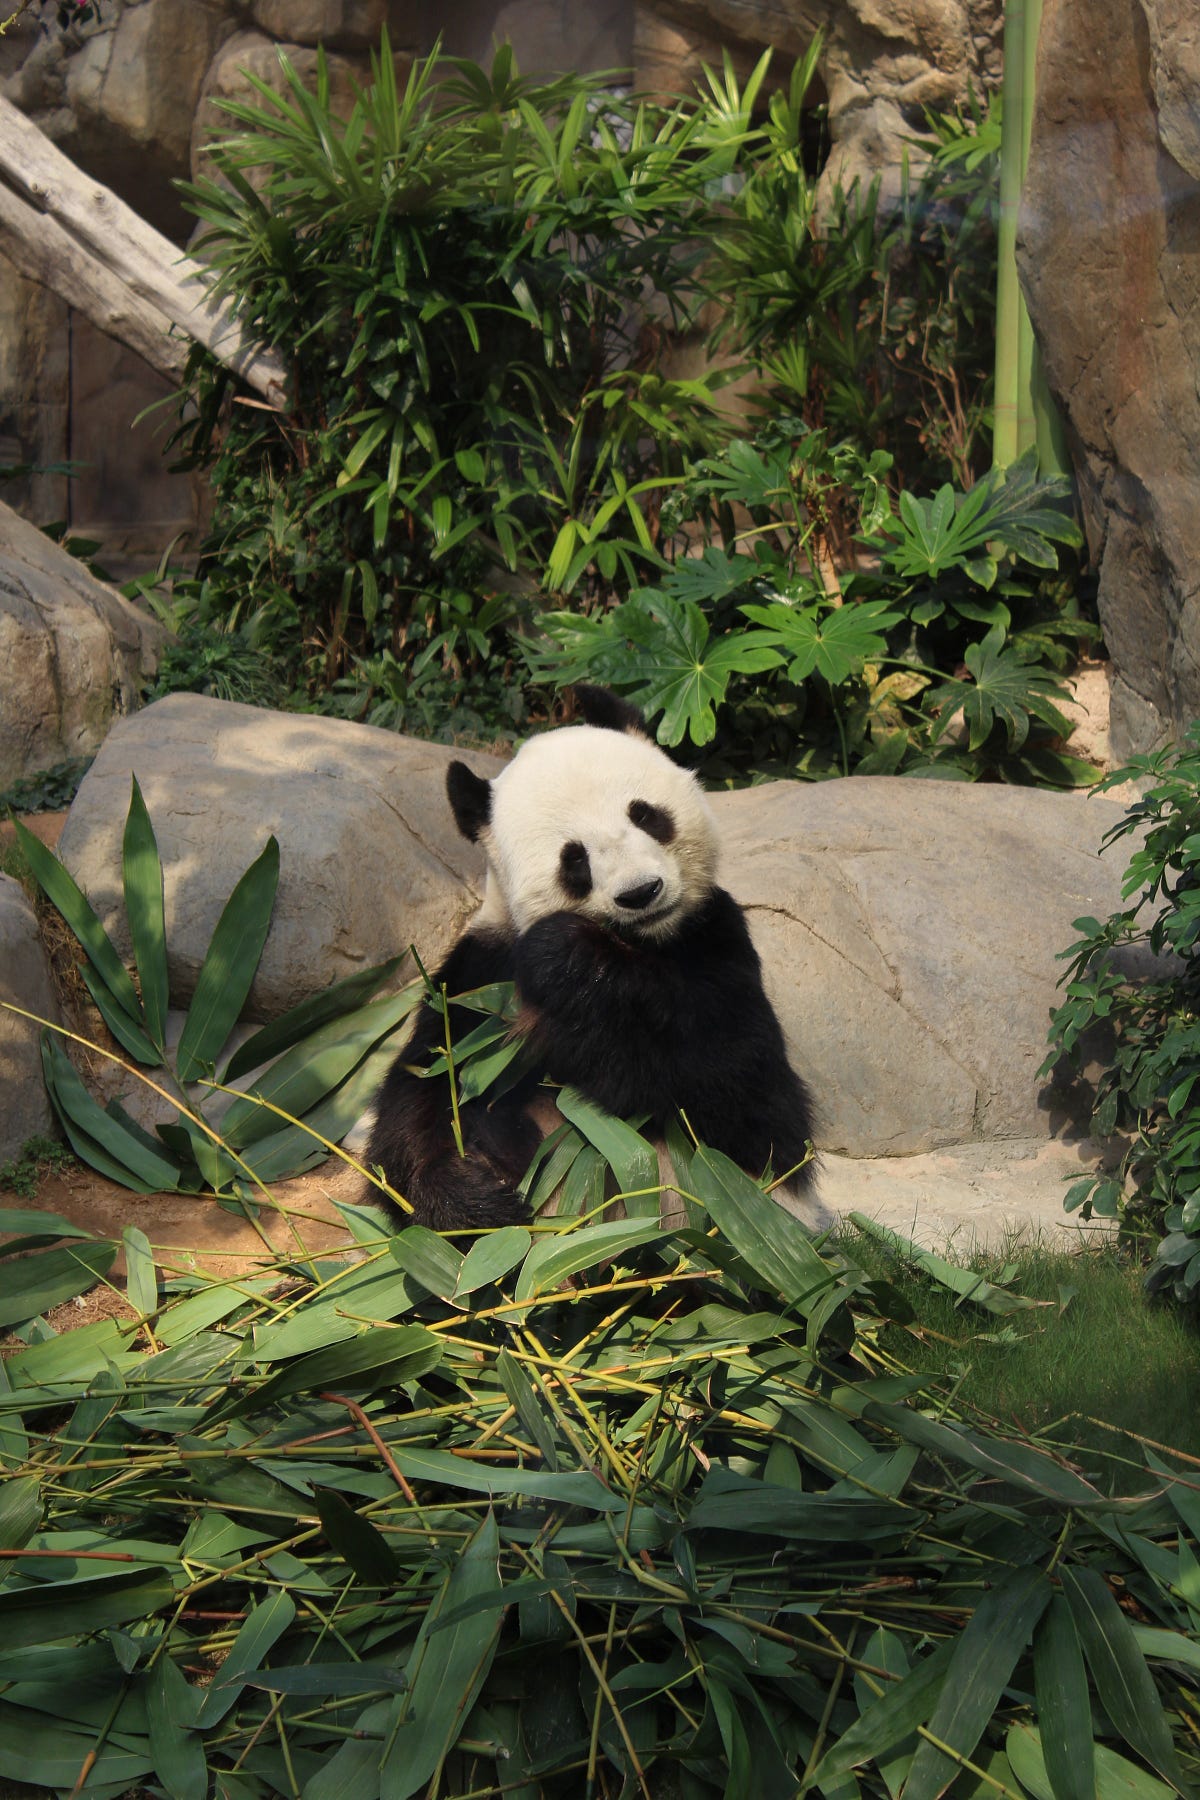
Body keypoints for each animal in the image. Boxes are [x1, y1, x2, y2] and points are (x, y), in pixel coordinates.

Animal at [366, 685, 816, 1230]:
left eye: (645, 815)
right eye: (573, 858)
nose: (641, 892)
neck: (645, 944)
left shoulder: (717, 939)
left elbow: (741, 1090)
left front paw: (566, 956)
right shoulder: (479, 980)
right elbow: (425, 1085)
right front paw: (472, 1200)